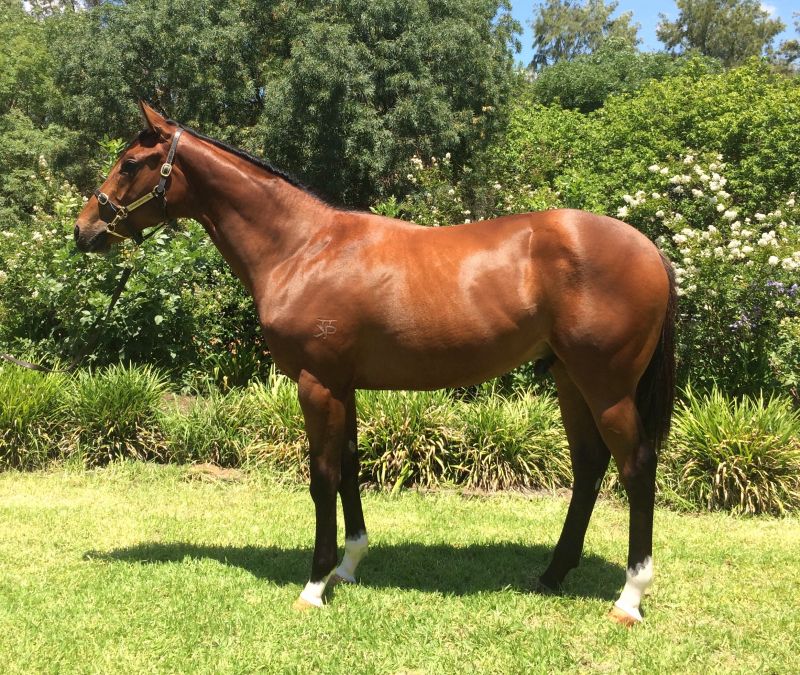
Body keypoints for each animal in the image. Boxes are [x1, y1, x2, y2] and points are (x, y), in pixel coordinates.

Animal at [74, 101, 676, 626]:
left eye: (130, 163)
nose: (84, 230)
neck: (304, 248)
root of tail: (649, 248)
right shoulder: (343, 386)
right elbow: (348, 468)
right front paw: (349, 564)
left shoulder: (317, 384)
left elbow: (322, 477)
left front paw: (314, 585)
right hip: (570, 381)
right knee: (589, 467)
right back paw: (552, 574)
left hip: (606, 387)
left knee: (636, 467)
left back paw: (629, 598)